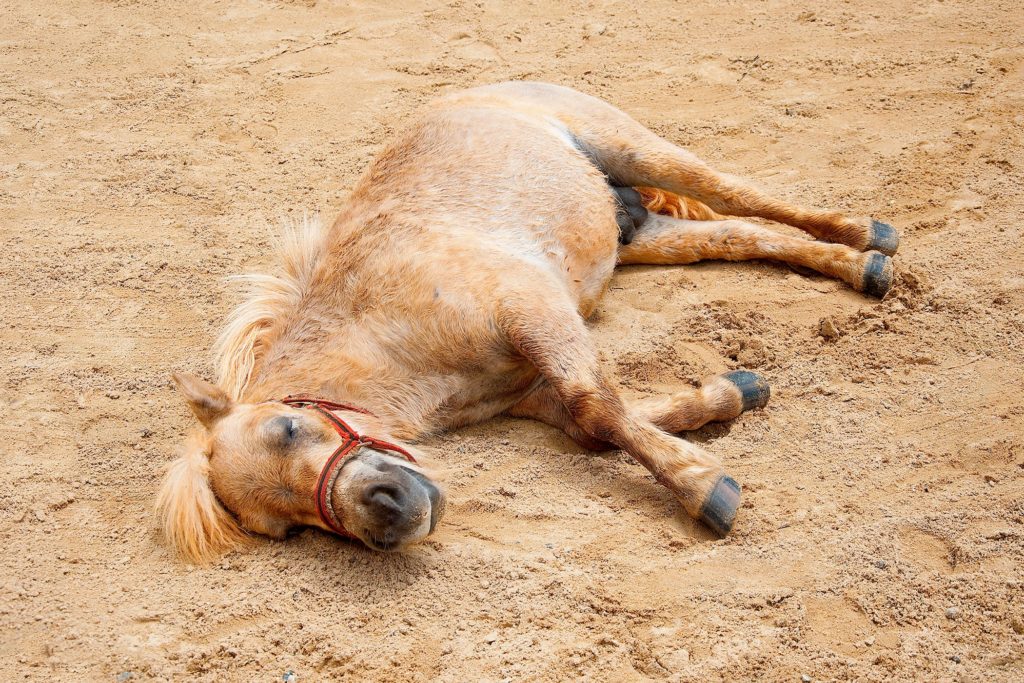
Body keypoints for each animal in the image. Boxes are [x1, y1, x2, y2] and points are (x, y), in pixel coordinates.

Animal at [157, 81, 898, 562]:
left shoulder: (533, 313)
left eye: (288, 427)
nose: (390, 512)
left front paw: (704, 488)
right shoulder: (532, 388)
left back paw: (869, 239)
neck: (382, 333)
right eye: (286, 528)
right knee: (742, 235)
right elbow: (603, 424)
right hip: (643, 236)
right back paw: (858, 267)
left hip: (639, 150)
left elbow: (598, 404)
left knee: (742, 195)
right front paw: (730, 397)